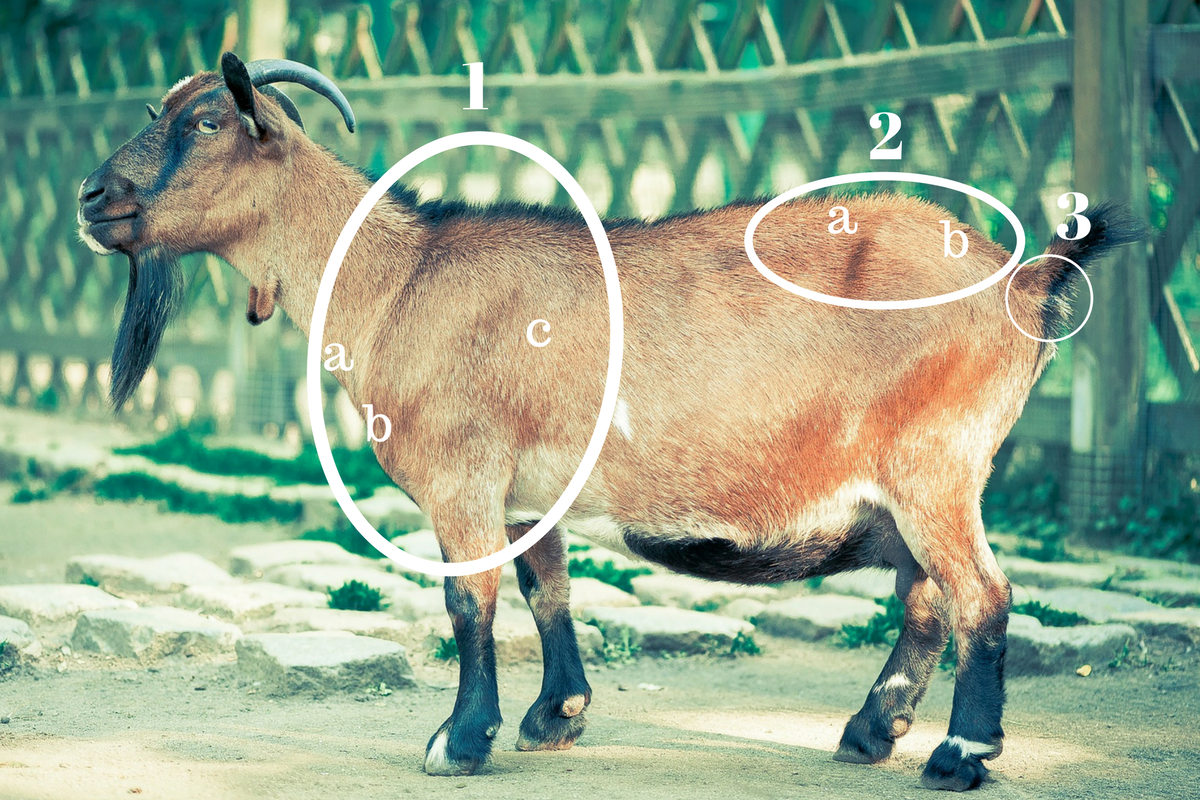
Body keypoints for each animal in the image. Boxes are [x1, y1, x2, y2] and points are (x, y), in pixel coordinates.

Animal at [78, 53, 1141, 791]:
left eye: (205, 119)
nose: (93, 197)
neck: (397, 279)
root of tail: (1023, 275)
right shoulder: (524, 490)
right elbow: (546, 591)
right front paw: (556, 717)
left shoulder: (463, 475)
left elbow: (471, 603)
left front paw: (459, 740)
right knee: (925, 598)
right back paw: (868, 733)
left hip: (937, 462)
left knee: (982, 597)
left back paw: (959, 755)